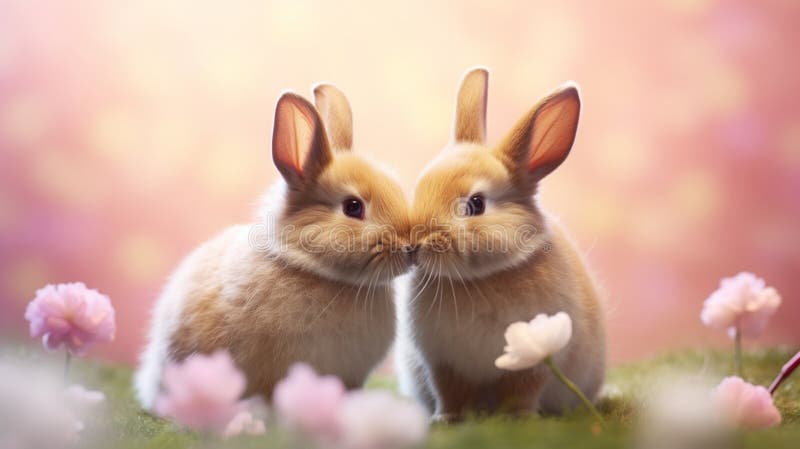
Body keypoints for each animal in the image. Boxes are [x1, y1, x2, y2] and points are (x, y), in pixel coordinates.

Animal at [396, 68, 606, 418]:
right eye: (419, 189)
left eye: (475, 205)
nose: (417, 244)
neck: (477, 280)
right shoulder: (443, 362)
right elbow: (451, 392)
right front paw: (447, 419)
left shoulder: (532, 360)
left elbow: (520, 390)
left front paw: (520, 418)